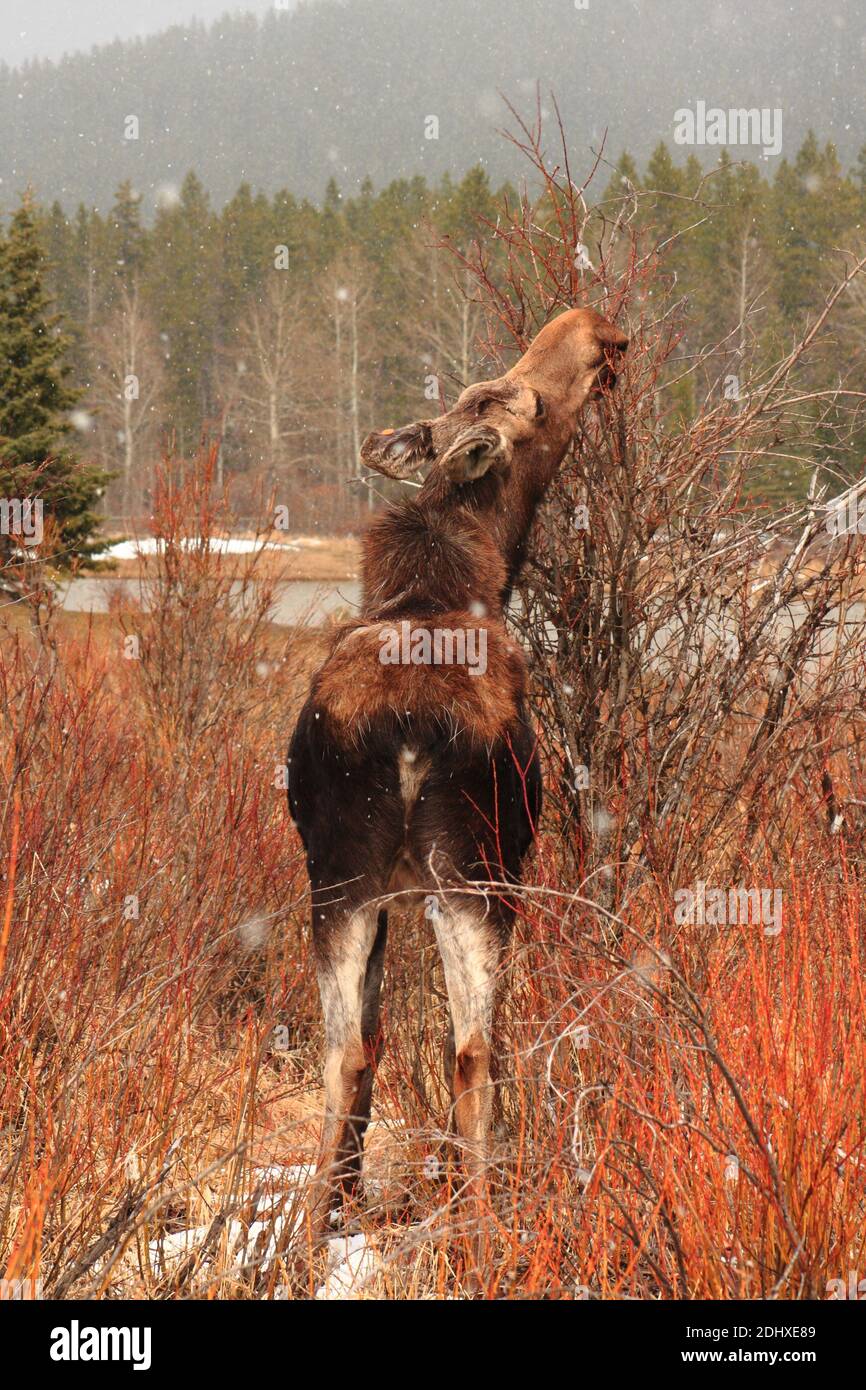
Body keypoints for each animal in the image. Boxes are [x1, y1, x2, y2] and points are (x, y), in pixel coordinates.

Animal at [287, 306, 628, 1252]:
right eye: (528, 403)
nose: (588, 325)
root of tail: (404, 732)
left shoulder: (376, 897)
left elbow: (367, 1040)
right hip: (475, 875)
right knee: (475, 1048)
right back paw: (485, 1222)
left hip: (340, 883)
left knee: (344, 1052)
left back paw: (313, 1229)